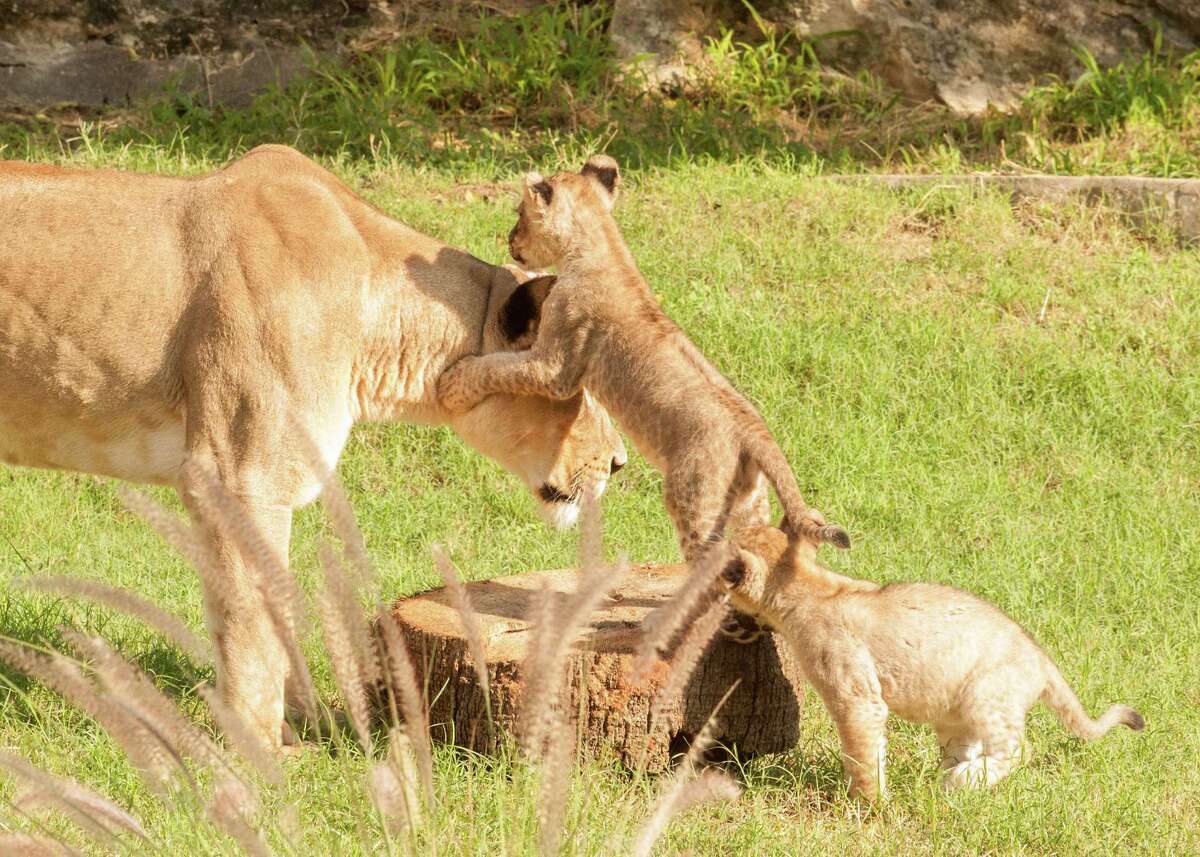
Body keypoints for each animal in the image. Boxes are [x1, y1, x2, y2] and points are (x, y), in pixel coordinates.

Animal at [0, 145, 626, 747]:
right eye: (586, 387)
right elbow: (249, 618)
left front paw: (308, 724)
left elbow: (276, 606)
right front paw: (259, 749)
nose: (620, 462)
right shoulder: (237, 474)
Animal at [437, 155, 848, 596]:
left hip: (694, 497)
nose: (509, 242)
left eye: (519, 214)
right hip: (747, 501)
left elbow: (499, 367)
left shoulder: (555, 368)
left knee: (716, 567)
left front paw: (454, 380)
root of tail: (756, 429)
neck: (601, 247)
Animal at [722, 525, 1145, 800]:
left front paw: (866, 805)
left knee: (1018, 750)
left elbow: (861, 753)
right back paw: (949, 786)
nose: (727, 618)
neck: (805, 585)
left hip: (987, 695)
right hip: (954, 716)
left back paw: (959, 782)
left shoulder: (857, 697)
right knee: (969, 748)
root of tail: (1043, 660)